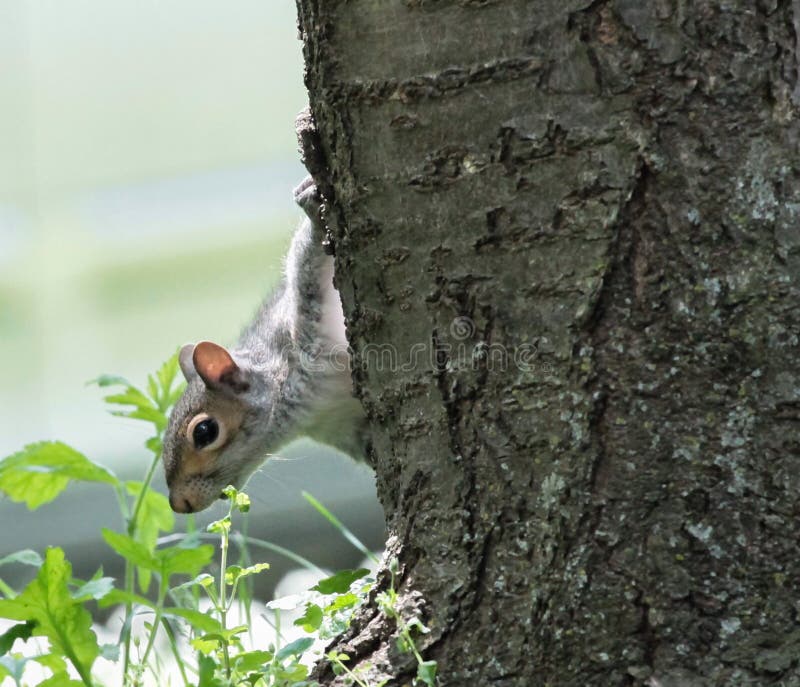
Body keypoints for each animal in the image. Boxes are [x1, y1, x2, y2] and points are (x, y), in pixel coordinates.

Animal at [161, 177, 366, 514]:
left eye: (204, 431)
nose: (180, 504)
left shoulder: (304, 325)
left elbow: (305, 265)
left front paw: (311, 210)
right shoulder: (341, 429)